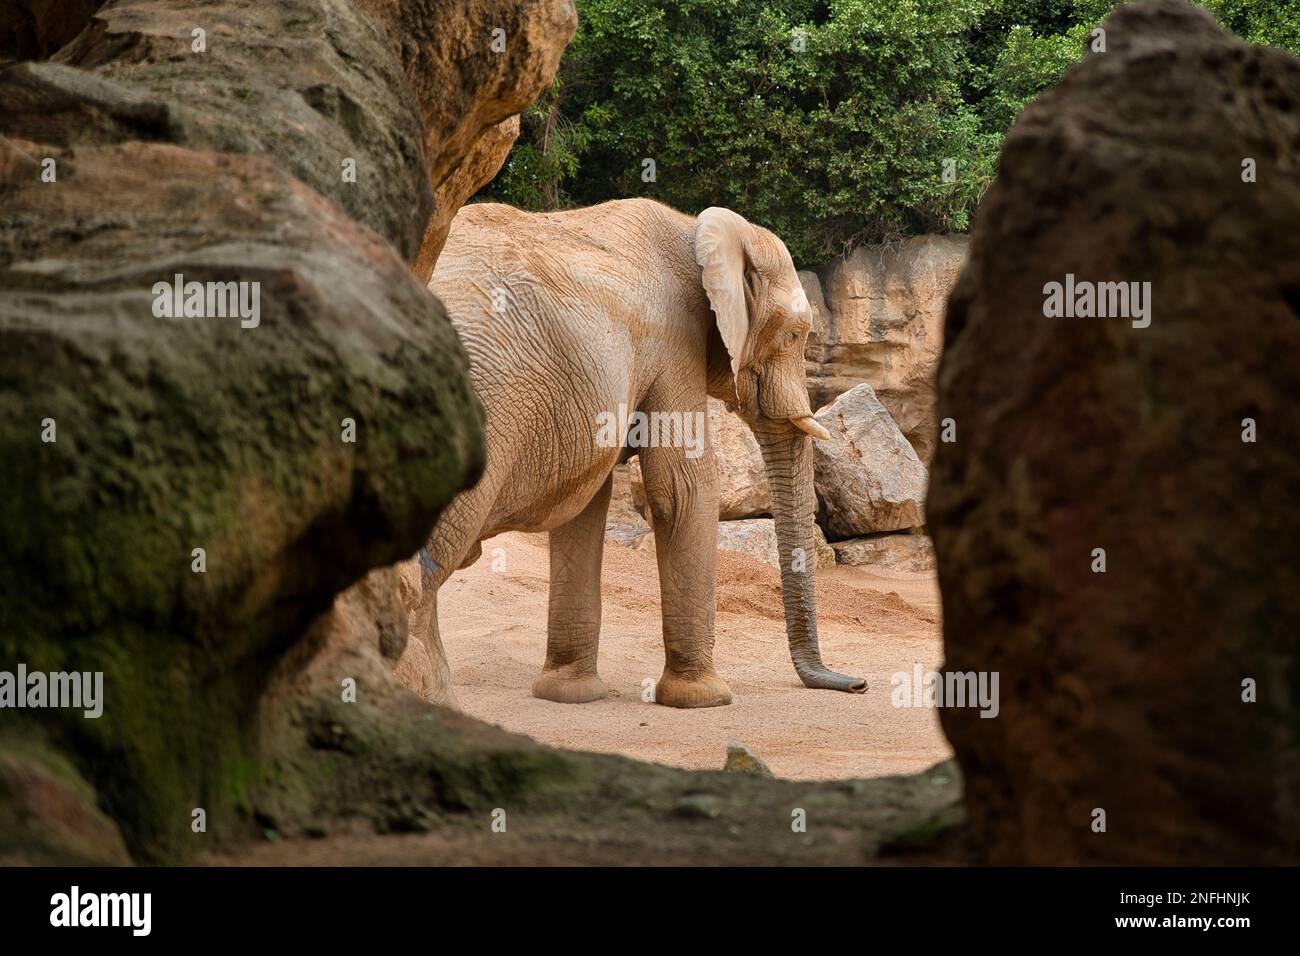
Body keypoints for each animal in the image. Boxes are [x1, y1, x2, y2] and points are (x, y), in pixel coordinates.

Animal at [412, 198, 866, 708]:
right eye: (793, 336)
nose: (858, 683)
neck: (700, 232)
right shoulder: (675, 339)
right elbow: (683, 488)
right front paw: (705, 699)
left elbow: (588, 502)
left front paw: (570, 694)